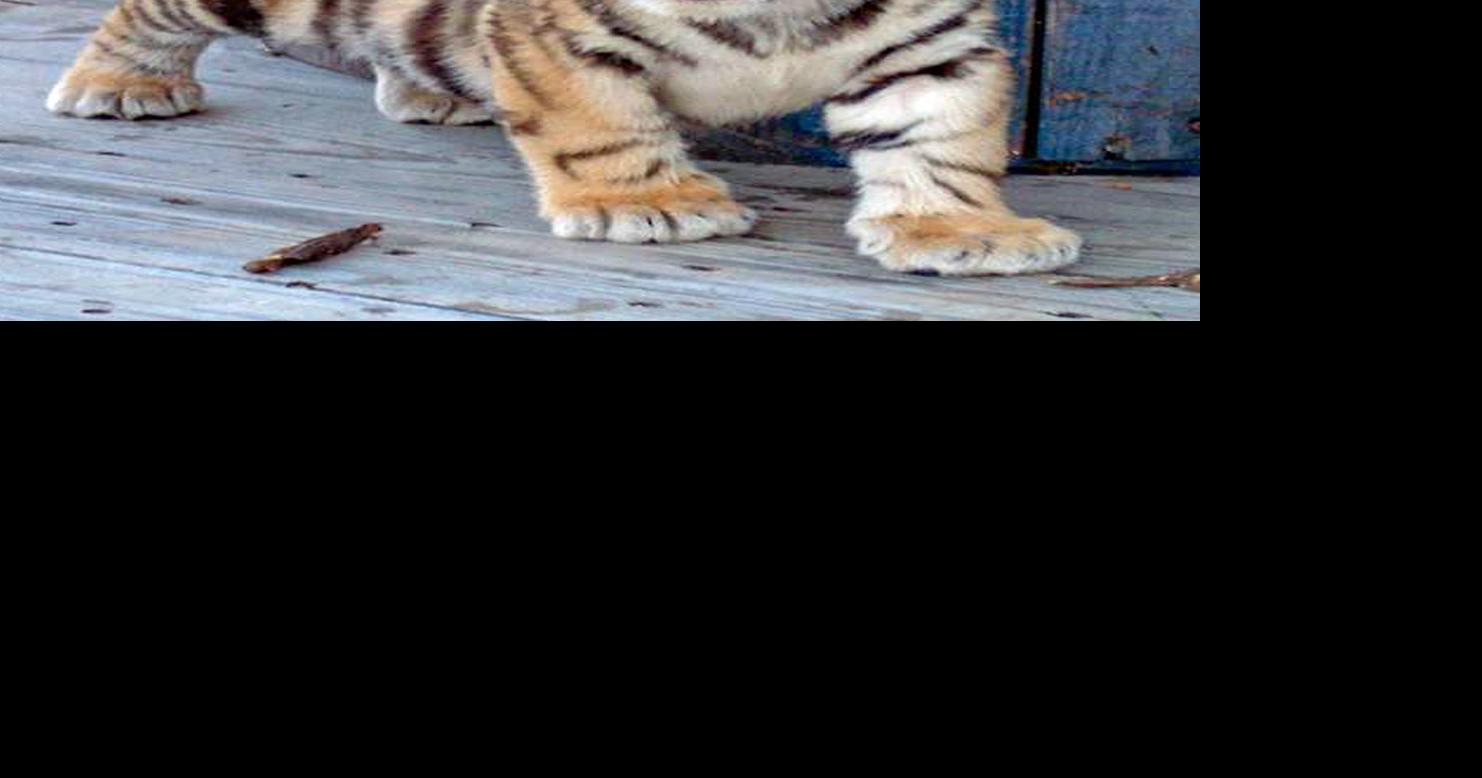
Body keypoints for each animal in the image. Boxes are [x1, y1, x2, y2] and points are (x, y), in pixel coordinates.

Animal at [47, 0, 1082, 276]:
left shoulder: (937, 46)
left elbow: (942, 147)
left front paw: (963, 233)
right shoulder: (561, 35)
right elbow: (603, 124)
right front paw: (650, 206)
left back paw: (431, 95)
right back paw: (120, 83)